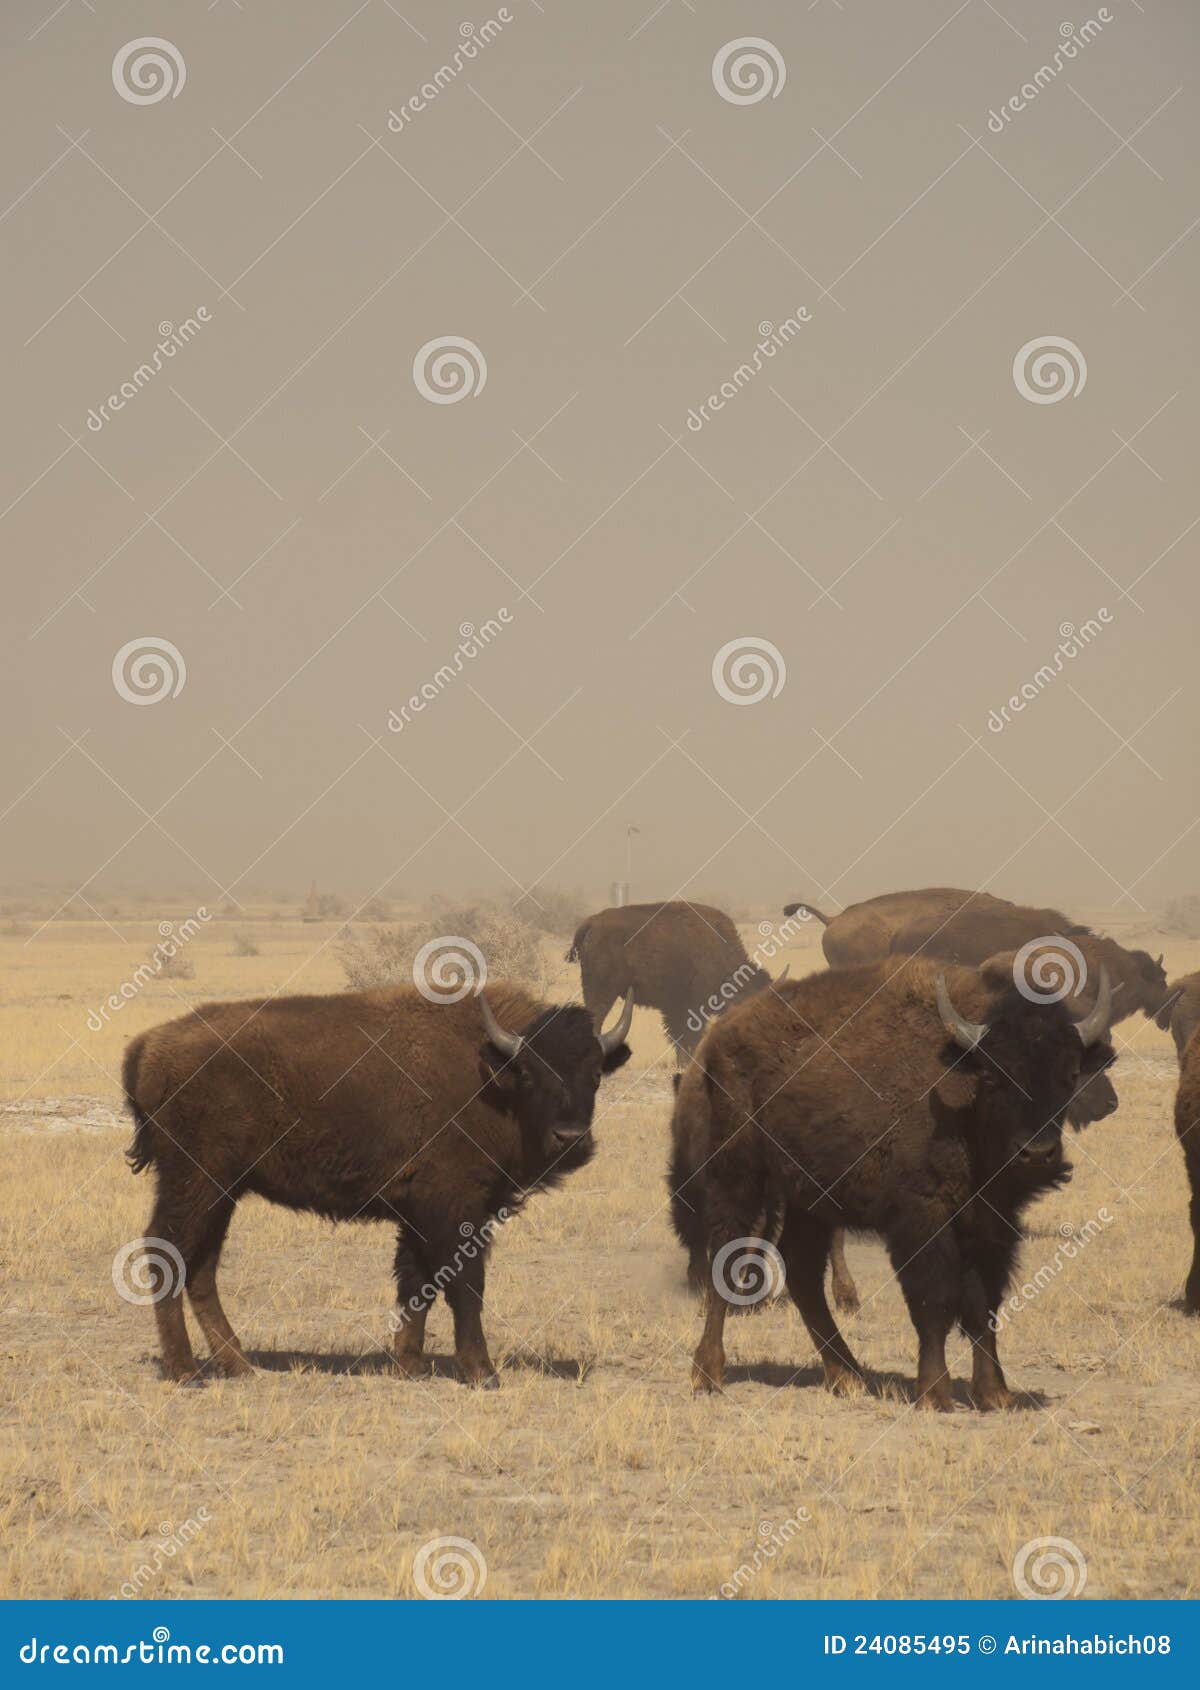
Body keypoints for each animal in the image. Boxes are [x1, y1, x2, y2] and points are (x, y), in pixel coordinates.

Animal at [124, 982, 633, 1386]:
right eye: (529, 1072)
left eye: (595, 1074)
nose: (570, 1137)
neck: (490, 1074)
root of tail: (149, 1044)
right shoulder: (455, 1207)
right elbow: (464, 1283)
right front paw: (482, 1373)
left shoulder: (420, 1213)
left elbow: (417, 1282)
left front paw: (410, 1365)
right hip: (196, 1183)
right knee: (167, 1252)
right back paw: (186, 1372)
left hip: (222, 1192)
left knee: (202, 1268)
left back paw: (239, 1365)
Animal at [689, 956, 1114, 1410]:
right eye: (993, 1077)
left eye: (1071, 1074)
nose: (1036, 1154)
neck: (961, 1090)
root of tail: (722, 1033)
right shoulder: (922, 1217)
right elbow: (934, 1301)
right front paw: (934, 1393)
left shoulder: (990, 1223)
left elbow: (983, 1304)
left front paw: (995, 1394)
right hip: (738, 1172)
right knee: (726, 1250)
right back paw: (707, 1373)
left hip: (809, 1197)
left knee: (802, 1269)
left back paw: (847, 1376)